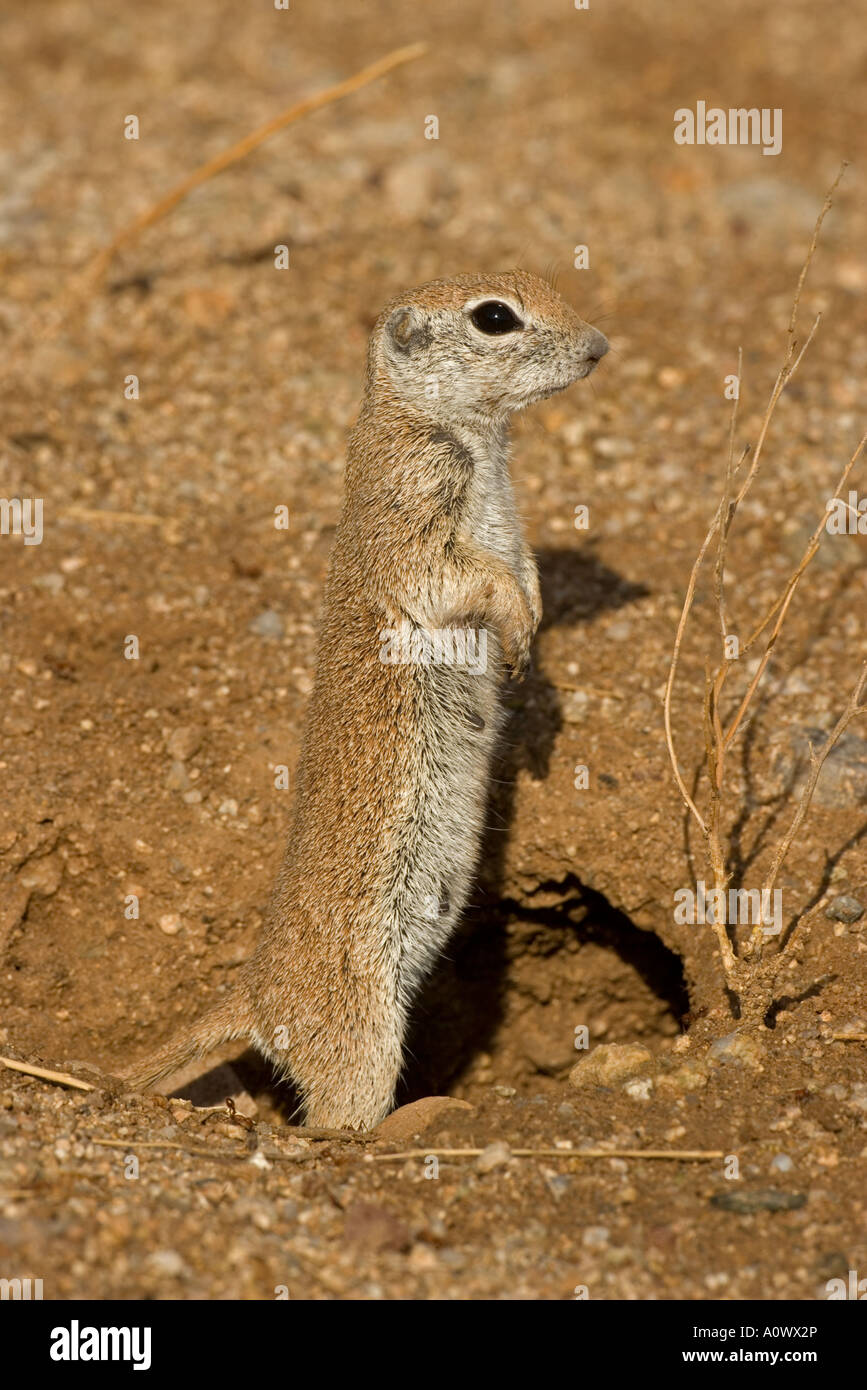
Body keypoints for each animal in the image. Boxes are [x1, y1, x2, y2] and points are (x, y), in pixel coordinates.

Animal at [122, 270, 608, 1129]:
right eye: (494, 317)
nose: (598, 346)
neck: (472, 438)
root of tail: (254, 992)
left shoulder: (509, 525)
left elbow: (522, 567)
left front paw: (532, 632)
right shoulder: (413, 504)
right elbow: (462, 578)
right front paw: (517, 628)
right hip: (359, 1032)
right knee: (336, 1119)